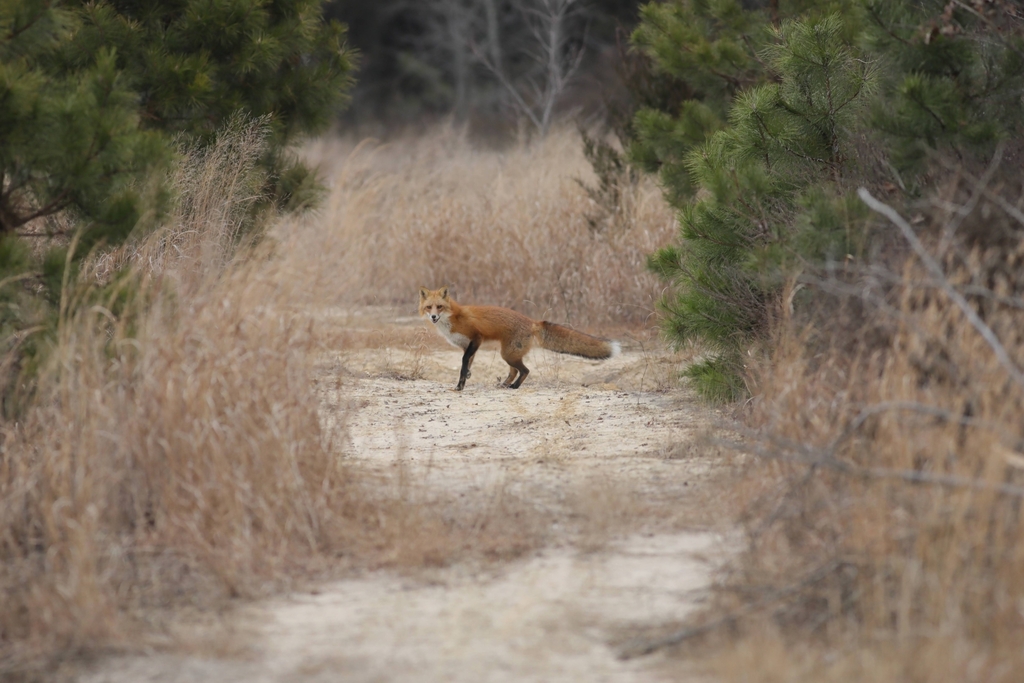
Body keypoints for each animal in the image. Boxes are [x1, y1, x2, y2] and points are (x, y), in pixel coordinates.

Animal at [418, 286, 620, 391]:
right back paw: (505, 384)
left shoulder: (476, 337)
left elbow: (463, 361)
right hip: (509, 354)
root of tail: (532, 322)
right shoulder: (466, 345)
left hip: (508, 354)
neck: (453, 319)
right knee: (515, 371)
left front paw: (460, 385)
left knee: (525, 371)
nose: (433, 317)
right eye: (429, 307)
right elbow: (468, 362)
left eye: (439, 307)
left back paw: (514, 386)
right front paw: (467, 376)